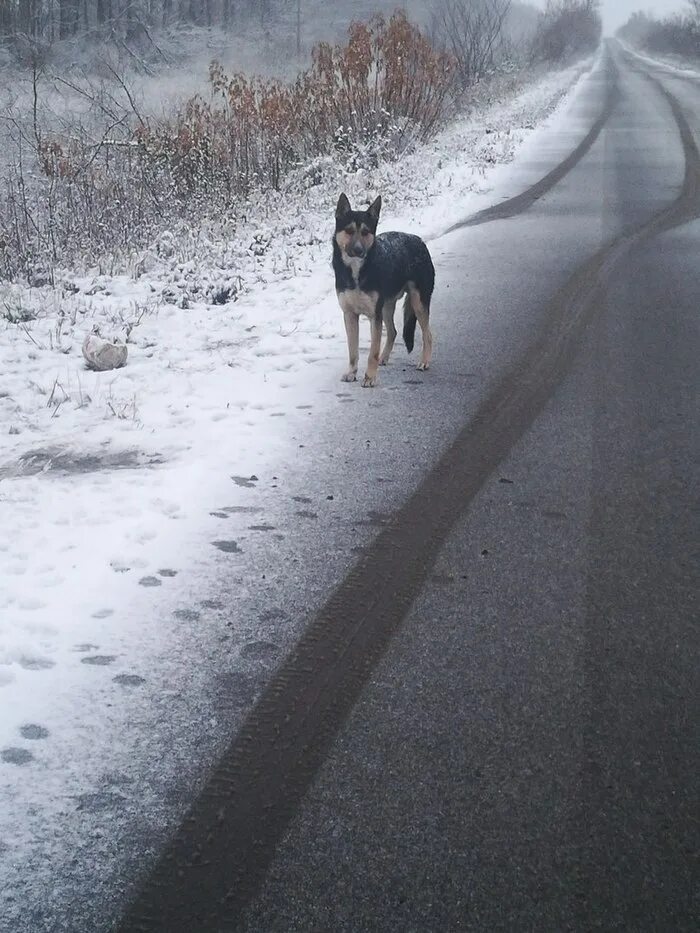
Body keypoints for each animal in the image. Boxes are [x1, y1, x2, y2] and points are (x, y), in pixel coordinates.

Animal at [332, 193, 432, 386]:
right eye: (349, 231)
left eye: (365, 232)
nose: (358, 250)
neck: (357, 270)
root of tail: (419, 240)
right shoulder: (349, 315)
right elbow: (353, 351)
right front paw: (352, 373)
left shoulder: (374, 316)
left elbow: (372, 351)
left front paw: (370, 377)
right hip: (386, 307)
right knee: (393, 332)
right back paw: (384, 358)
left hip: (418, 303)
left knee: (428, 334)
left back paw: (424, 361)